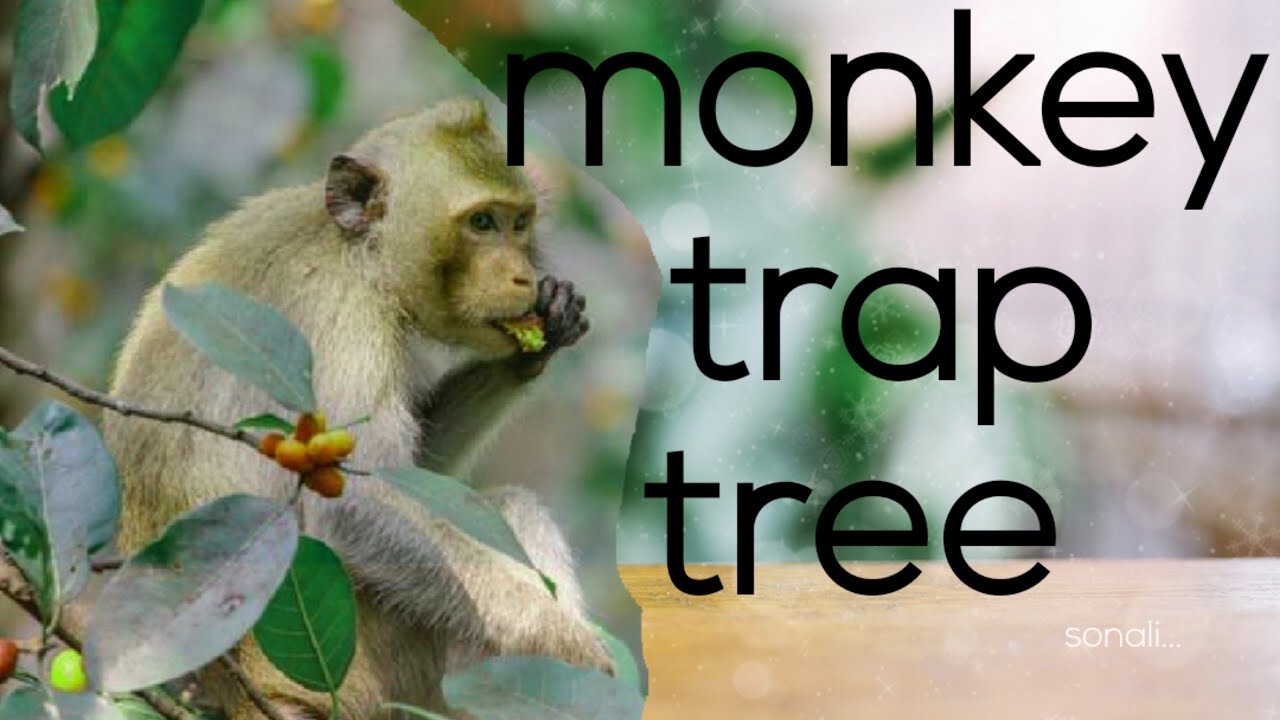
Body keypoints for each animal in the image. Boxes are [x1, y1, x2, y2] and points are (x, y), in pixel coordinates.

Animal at [101, 98, 614, 719]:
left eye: (519, 223)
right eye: (482, 223)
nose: (523, 275)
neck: (356, 249)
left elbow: (423, 473)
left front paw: (543, 334)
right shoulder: (344, 315)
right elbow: (358, 505)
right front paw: (560, 640)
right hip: (371, 665)